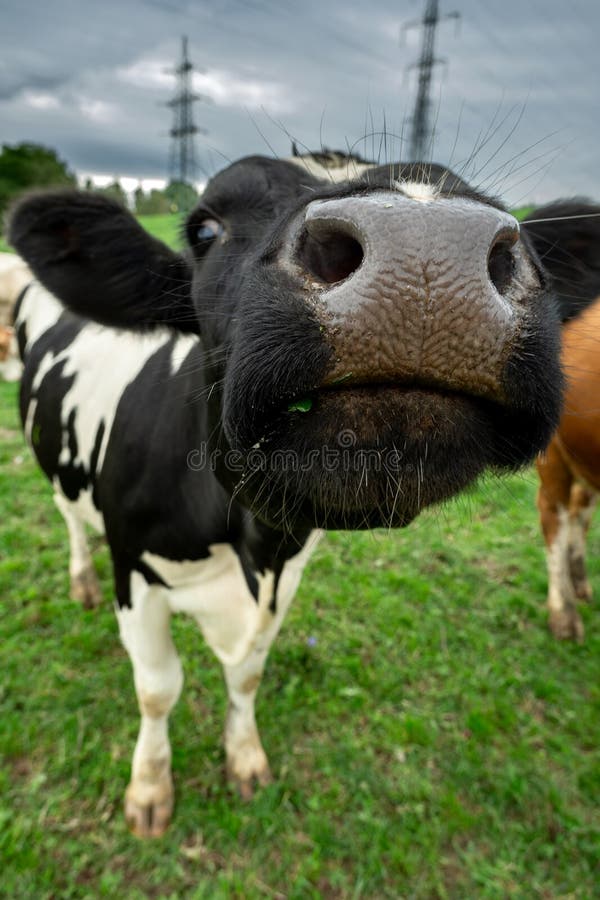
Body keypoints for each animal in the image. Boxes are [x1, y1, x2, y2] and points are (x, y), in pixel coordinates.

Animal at [8, 154, 600, 836]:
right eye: (204, 230)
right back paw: (81, 578)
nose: (425, 250)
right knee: (70, 517)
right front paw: (150, 789)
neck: (247, 541)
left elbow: (247, 675)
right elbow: (158, 687)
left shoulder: (285, 575)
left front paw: (244, 758)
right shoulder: (134, 566)